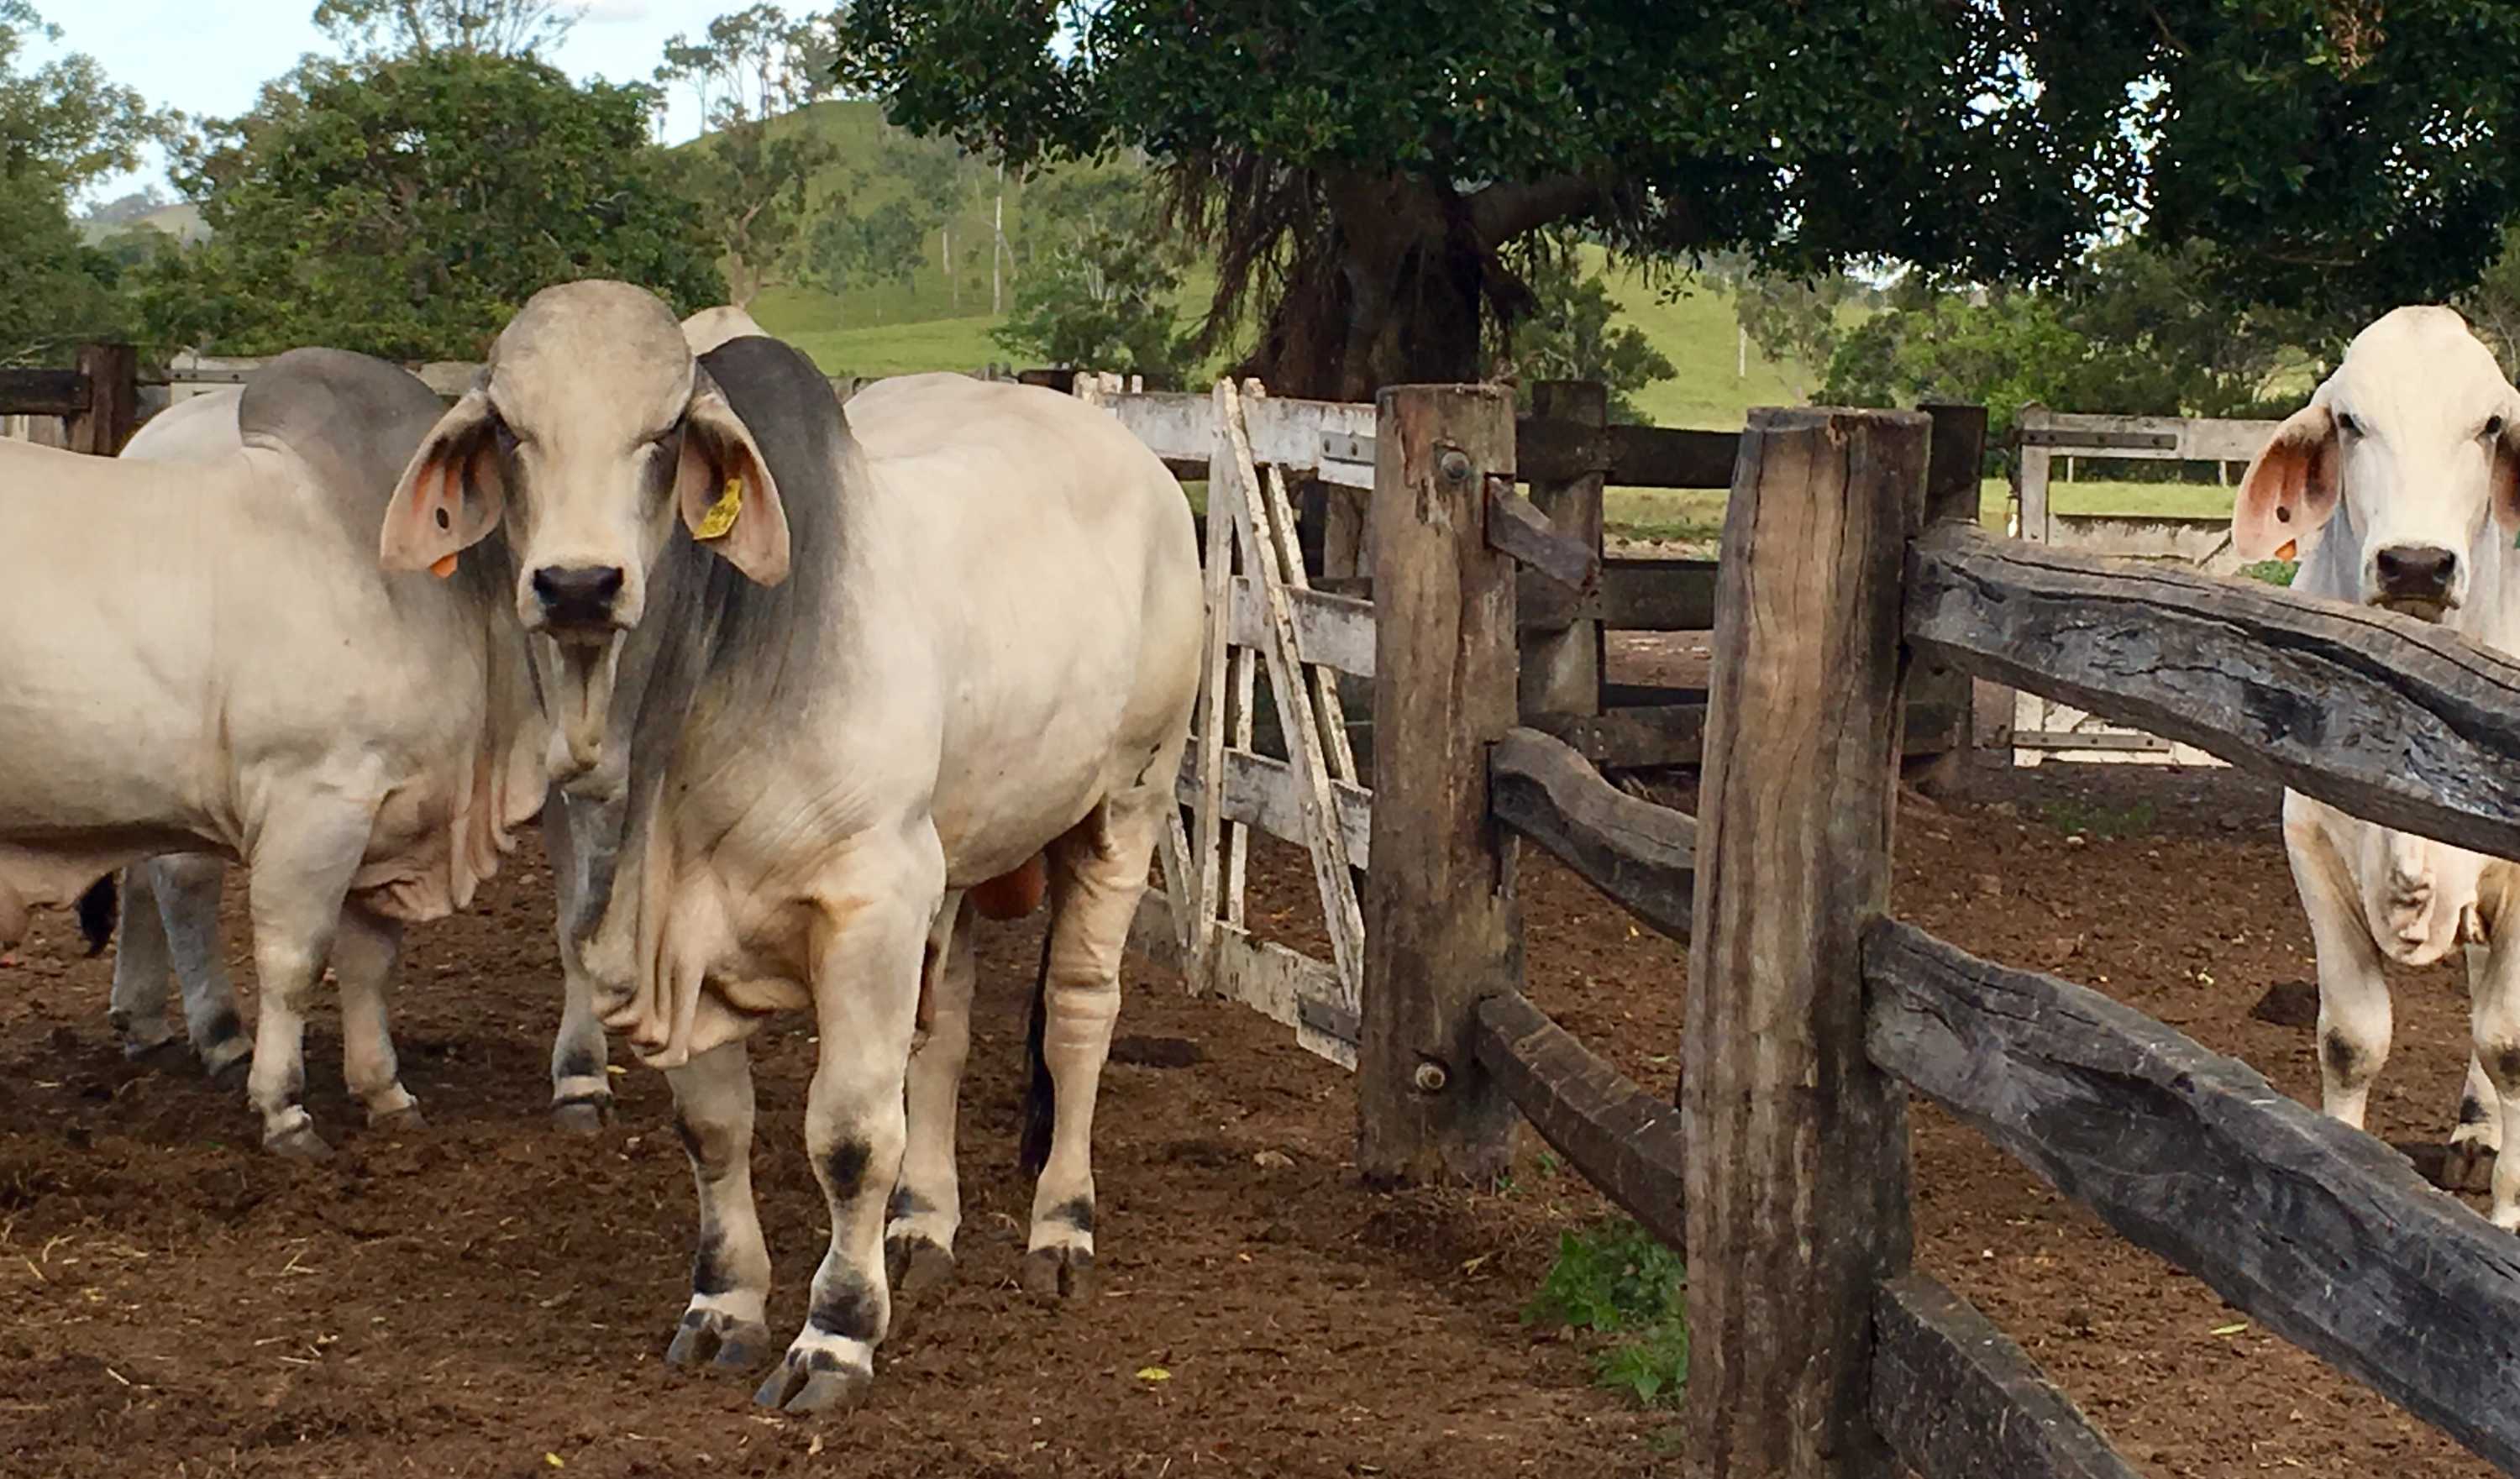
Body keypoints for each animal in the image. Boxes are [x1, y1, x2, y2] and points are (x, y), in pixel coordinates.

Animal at [0, 349, 552, 1155]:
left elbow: (368, 963)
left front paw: (385, 1091)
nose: (583, 579)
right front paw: (284, 1108)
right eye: (517, 437)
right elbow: (295, 960)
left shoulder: (384, 811)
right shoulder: (315, 801)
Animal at [379, 281, 1202, 1412]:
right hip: (958, 857)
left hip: (1125, 804)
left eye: (665, 434)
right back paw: (923, 1226)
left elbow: (849, 1136)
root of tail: (1138, 461)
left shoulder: (873, 901)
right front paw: (723, 1307)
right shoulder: (677, 939)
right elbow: (714, 1127)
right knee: (944, 1033)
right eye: (508, 428)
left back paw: (1060, 1231)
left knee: (1080, 1018)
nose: (580, 585)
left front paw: (836, 1337)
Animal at [2232, 305, 2520, 1226]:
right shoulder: (2313, 841)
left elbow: (2509, 1045)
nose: (2418, 563)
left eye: (2490, 424)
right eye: (2352, 421)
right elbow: (2351, 1039)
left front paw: (2507, 1221)